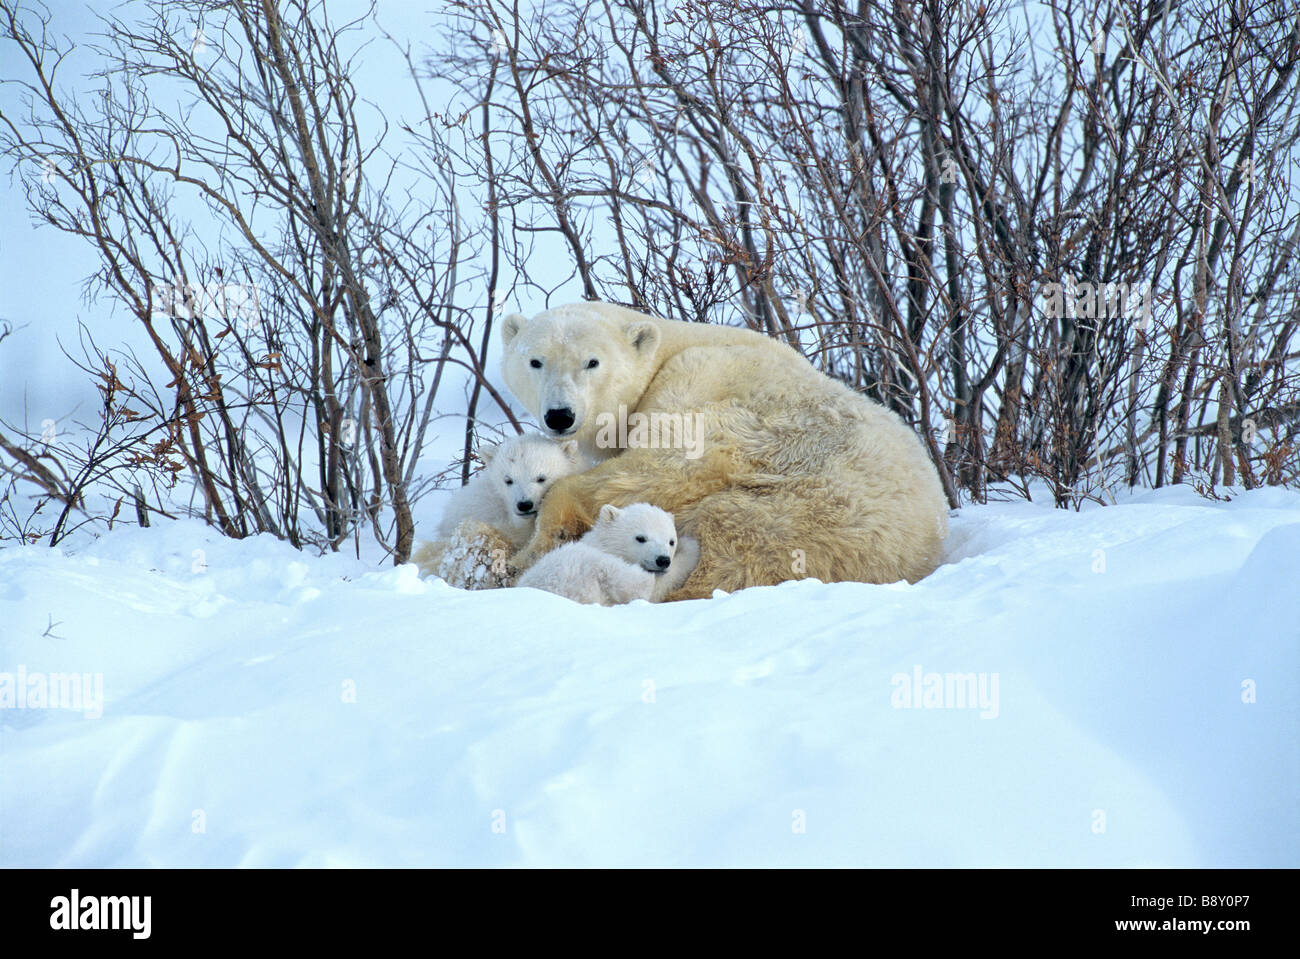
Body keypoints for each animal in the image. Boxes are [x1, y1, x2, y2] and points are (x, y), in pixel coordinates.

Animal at [516, 503, 701, 605]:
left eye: (671, 541)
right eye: (640, 538)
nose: (663, 560)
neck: (603, 545)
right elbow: (648, 588)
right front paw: (691, 545)